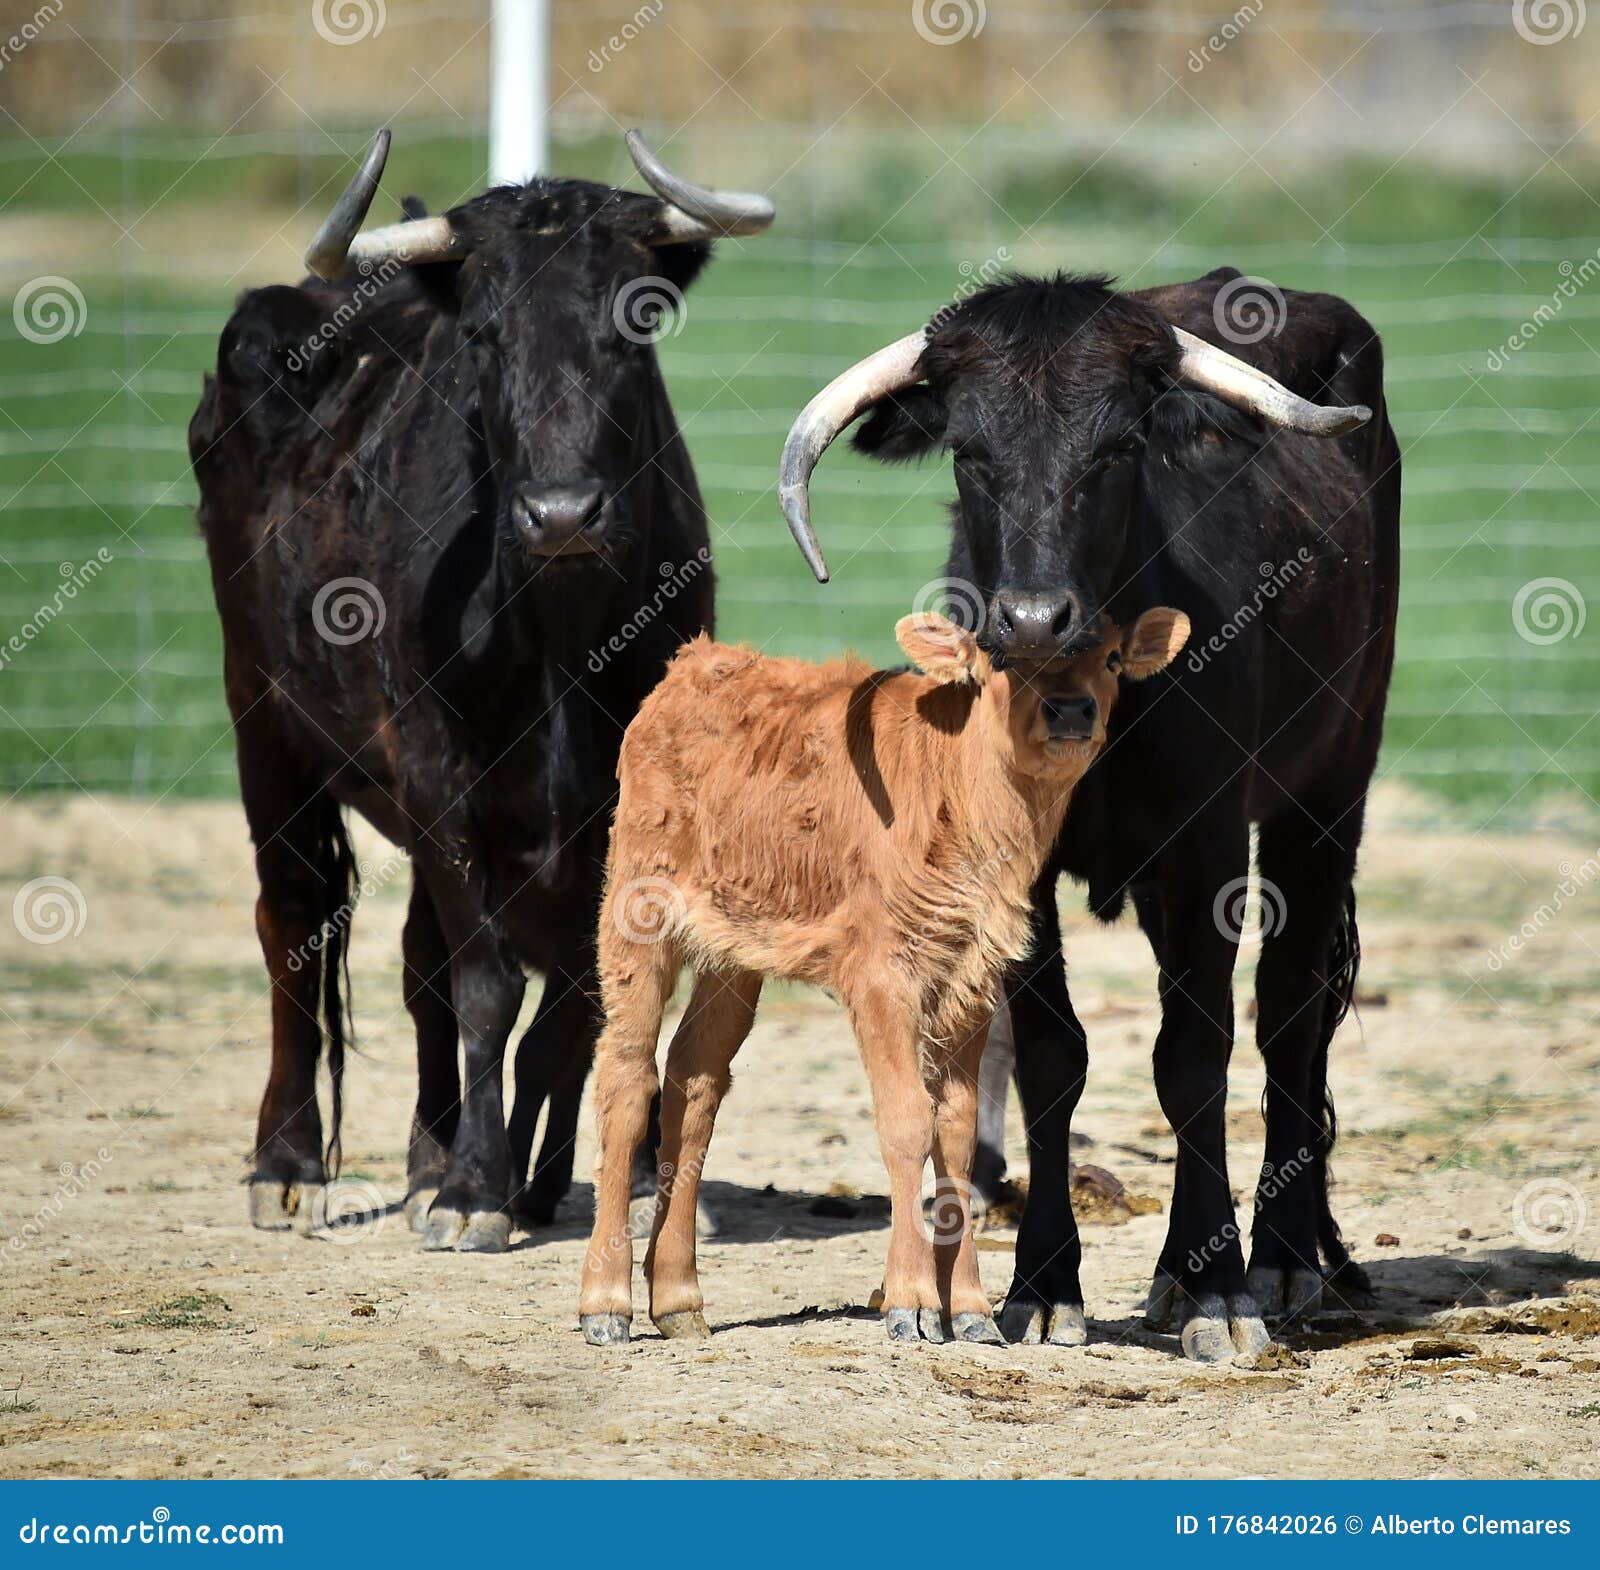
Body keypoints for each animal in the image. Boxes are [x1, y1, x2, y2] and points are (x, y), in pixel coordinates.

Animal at [189, 128, 773, 1252]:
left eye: (634, 323)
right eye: (487, 339)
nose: (562, 512)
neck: (559, 627)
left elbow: (582, 996)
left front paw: (573, 1180)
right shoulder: (436, 766)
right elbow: (490, 985)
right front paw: (474, 1194)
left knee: (421, 966)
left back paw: (427, 1160)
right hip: (263, 722)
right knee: (294, 924)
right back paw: (286, 1166)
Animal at [577, 604, 1190, 1345]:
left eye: (1109, 660)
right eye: (1002, 659)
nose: (1070, 709)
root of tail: (696, 663)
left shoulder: (971, 981)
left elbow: (955, 1133)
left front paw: (972, 1308)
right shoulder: (880, 975)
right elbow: (906, 1122)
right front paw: (913, 1301)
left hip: (735, 952)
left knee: (693, 1082)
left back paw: (677, 1299)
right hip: (636, 915)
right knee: (626, 1078)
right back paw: (605, 1302)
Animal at [775, 268, 1400, 1360]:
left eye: (1117, 448)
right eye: (971, 452)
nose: (1033, 619)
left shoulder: (1205, 850)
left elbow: (1192, 1057)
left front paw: (1222, 1296)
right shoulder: (1018, 871)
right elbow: (1051, 1056)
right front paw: (1042, 1285)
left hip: (1329, 791)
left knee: (1289, 1014)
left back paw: (1280, 1260)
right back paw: (1180, 1270)